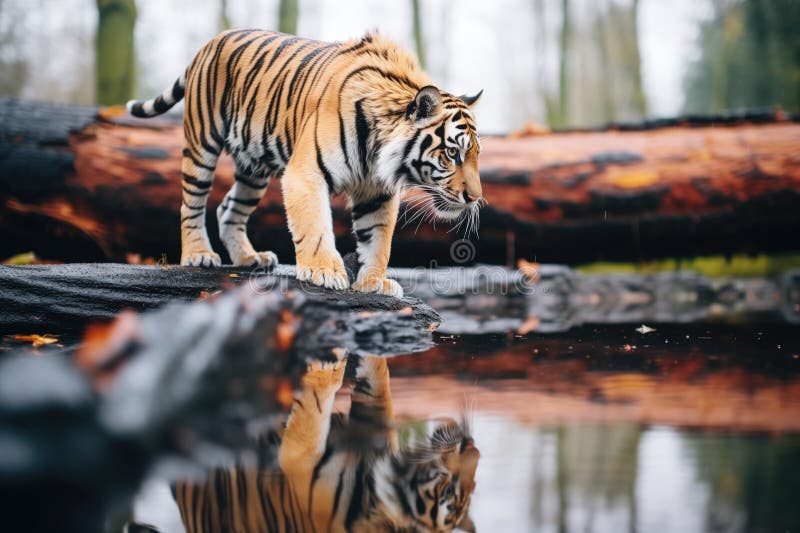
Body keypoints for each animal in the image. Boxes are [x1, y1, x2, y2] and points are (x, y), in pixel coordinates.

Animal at [126, 29, 483, 298]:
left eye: (476, 154)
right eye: (453, 153)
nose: (475, 198)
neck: (377, 150)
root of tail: (213, 40)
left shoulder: (377, 191)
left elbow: (378, 240)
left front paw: (373, 283)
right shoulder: (306, 174)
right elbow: (315, 227)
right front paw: (325, 272)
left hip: (254, 167)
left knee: (229, 208)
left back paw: (250, 258)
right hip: (202, 143)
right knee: (192, 203)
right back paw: (199, 254)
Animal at [128, 352, 480, 533]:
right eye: (452, 492)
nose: (473, 448)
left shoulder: (300, 459)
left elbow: (314, 404)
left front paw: (329, 362)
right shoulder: (371, 420)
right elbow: (380, 376)